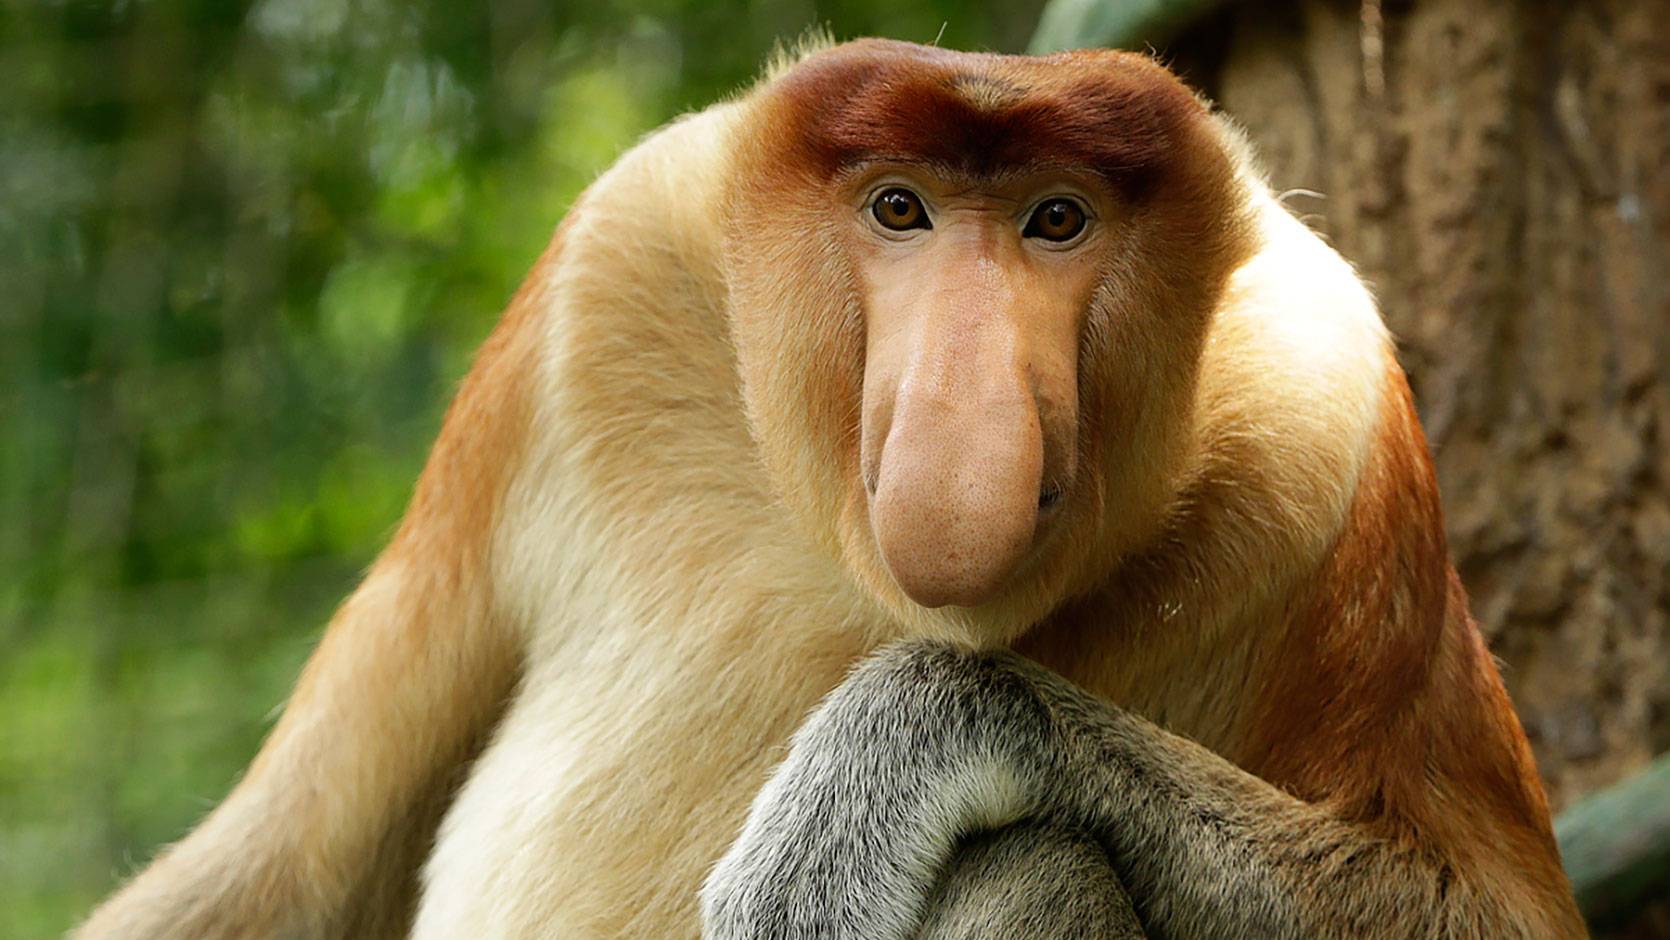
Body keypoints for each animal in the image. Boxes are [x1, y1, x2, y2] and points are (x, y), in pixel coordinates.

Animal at [77, 36, 1583, 939]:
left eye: (1055, 220)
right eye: (897, 209)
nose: (962, 394)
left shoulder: (1333, 434)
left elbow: (1484, 897)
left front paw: (867, 784)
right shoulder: (601, 276)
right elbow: (292, 859)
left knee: (1037, 856)